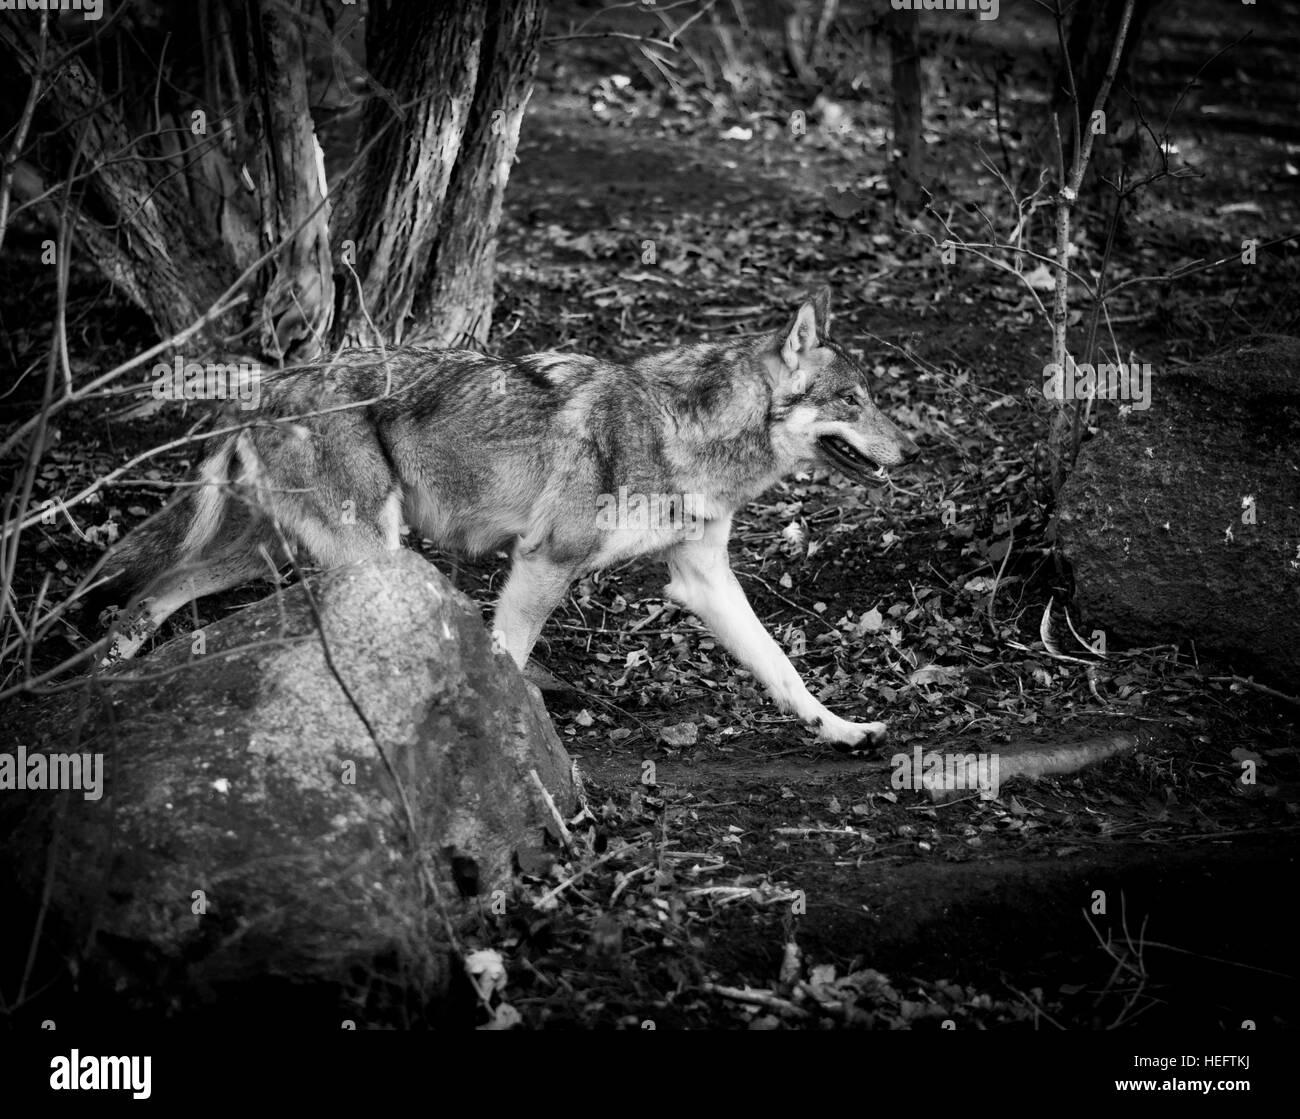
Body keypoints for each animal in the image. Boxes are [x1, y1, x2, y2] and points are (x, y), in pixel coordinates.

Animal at [89, 289, 918, 747]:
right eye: (853, 400)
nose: (911, 449)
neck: (685, 431)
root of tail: (269, 384)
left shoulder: (702, 579)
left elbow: (782, 667)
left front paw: (844, 729)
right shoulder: (545, 562)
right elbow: (509, 663)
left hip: (269, 550)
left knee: (150, 595)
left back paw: (102, 679)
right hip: (368, 552)